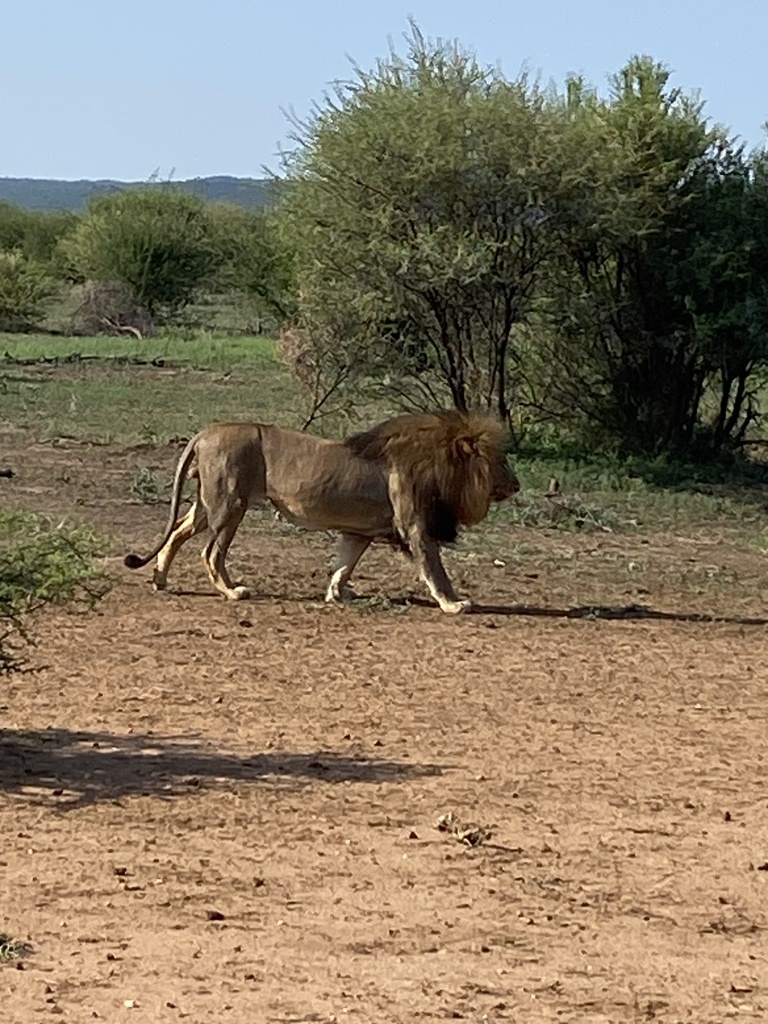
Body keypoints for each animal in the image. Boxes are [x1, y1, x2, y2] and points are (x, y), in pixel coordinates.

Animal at [123, 410, 519, 614]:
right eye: (501, 462)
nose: (517, 485)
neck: (439, 463)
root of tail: (205, 432)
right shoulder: (415, 528)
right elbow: (435, 571)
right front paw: (454, 603)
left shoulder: (360, 532)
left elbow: (344, 565)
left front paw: (337, 594)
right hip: (230, 504)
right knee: (210, 552)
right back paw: (232, 592)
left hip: (210, 504)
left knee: (177, 532)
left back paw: (160, 580)